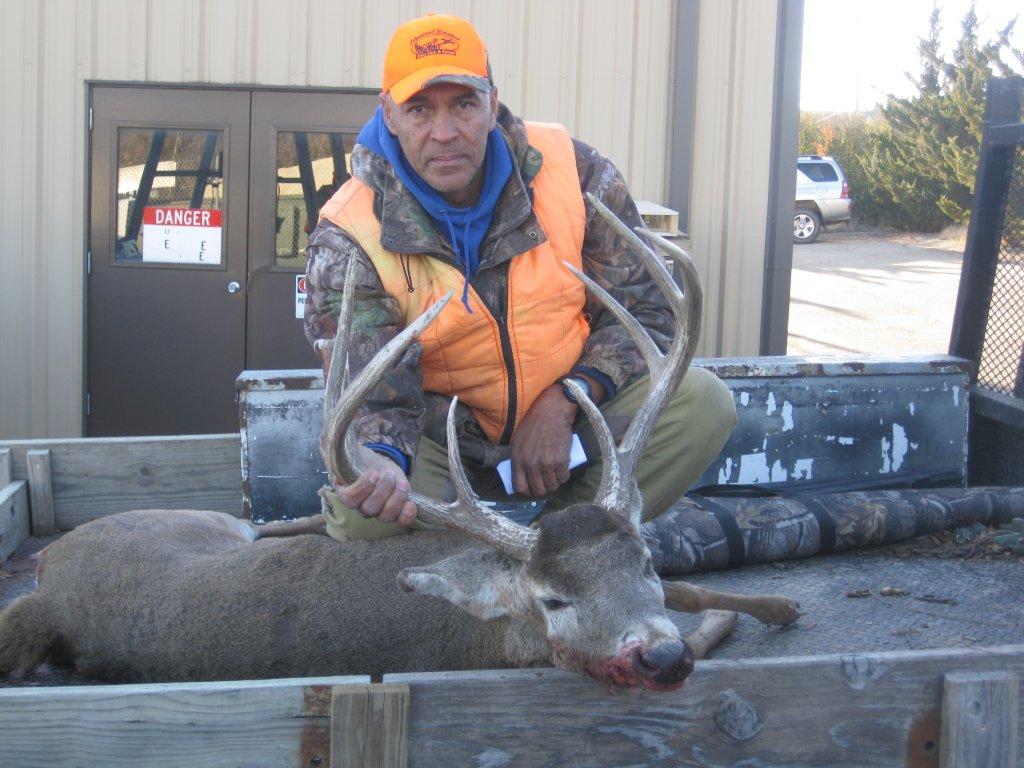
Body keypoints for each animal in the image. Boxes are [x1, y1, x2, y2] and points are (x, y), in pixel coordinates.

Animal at [0, 197, 798, 691]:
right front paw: (738, 620)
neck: (485, 637)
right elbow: (706, 633)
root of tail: (47, 570)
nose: (659, 655)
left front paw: (773, 608)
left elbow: (698, 590)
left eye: (644, 566)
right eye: (553, 599)